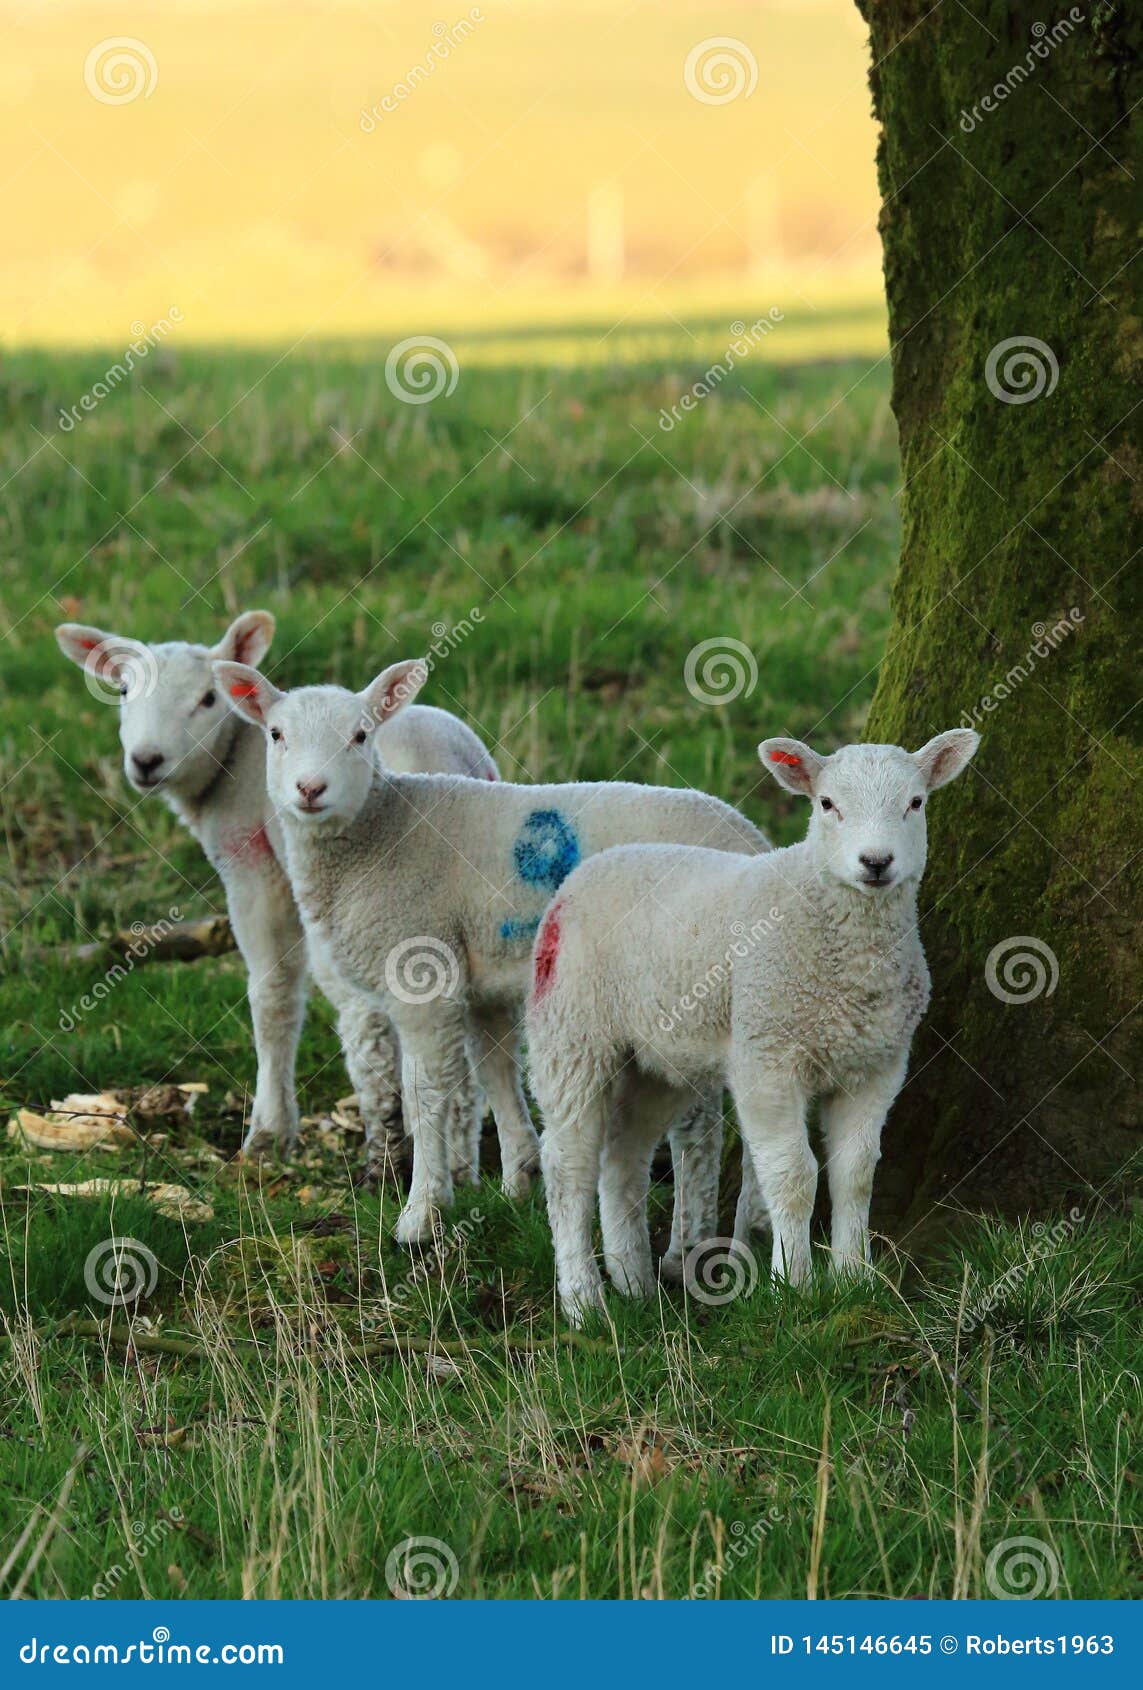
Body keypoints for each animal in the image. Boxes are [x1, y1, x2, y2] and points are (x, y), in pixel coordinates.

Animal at [55, 612, 497, 1182]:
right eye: (125, 691)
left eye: (207, 699)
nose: (146, 761)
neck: (232, 762)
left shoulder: (253, 867)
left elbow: (273, 994)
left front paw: (269, 1132)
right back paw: (462, 1163)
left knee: (367, 1023)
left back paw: (386, 1153)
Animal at [213, 655, 772, 1253]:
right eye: (276, 734)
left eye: (361, 736)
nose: (310, 788)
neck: (378, 832)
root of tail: (758, 845)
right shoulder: (477, 975)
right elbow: (495, 1072)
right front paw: (516, 1181)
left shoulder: (421, 968)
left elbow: (425, 1093)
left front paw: (422, 1214)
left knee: (700, 1128)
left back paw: (688, 1244)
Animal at [524, 729, 980, 1324]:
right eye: (827, 804)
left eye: (916, 803)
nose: (876, 862)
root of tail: (581, 876)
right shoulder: (767, 1056)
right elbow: (794, 1176)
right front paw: (795, 1286)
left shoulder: (876, 1064)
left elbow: (855, 1172)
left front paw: (854, 1278)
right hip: (571, 1028)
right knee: (567, 1165)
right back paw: (583, 1301)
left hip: (656, 1059)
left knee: (622, 1157)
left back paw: (634, 1284)